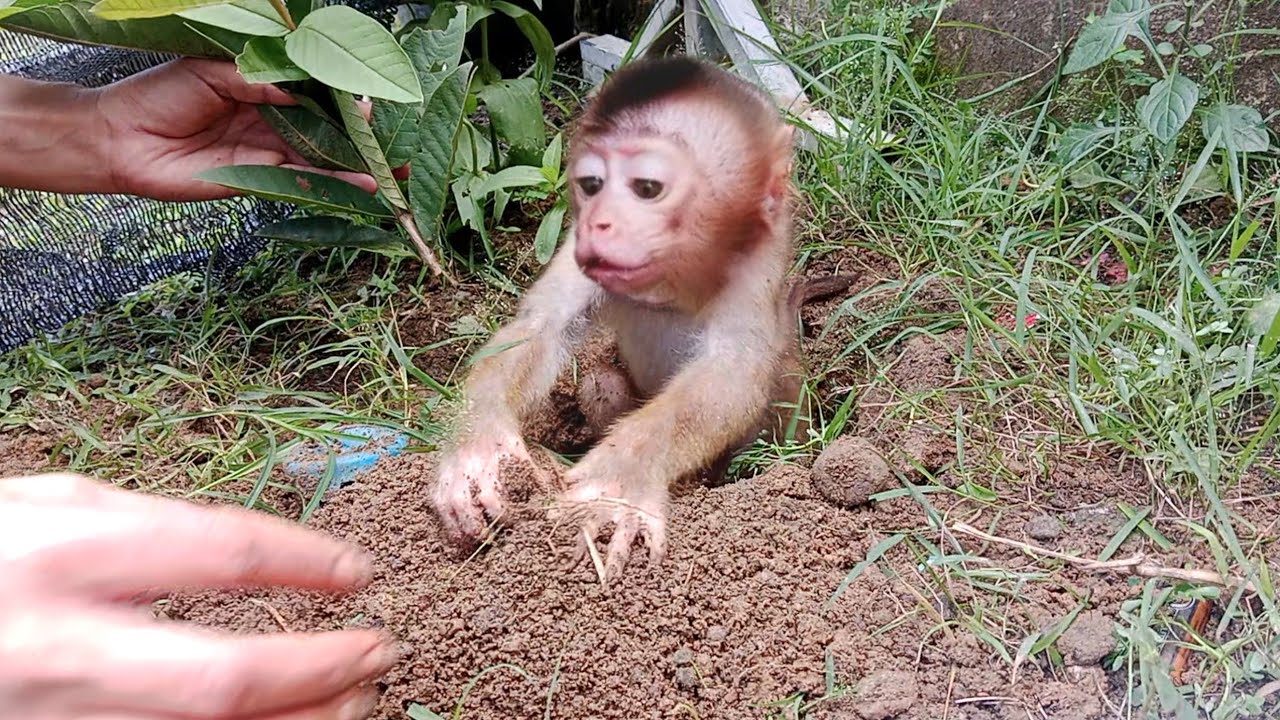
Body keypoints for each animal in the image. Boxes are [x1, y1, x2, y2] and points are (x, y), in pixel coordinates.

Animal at [431, 55, 854, 582]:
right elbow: (541, 327)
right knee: (601, 381)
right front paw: (477, 447)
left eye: (647, 188)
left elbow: (731, 373)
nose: (600, 223)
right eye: (592, 185)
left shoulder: (754, 268)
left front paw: (621, 478)